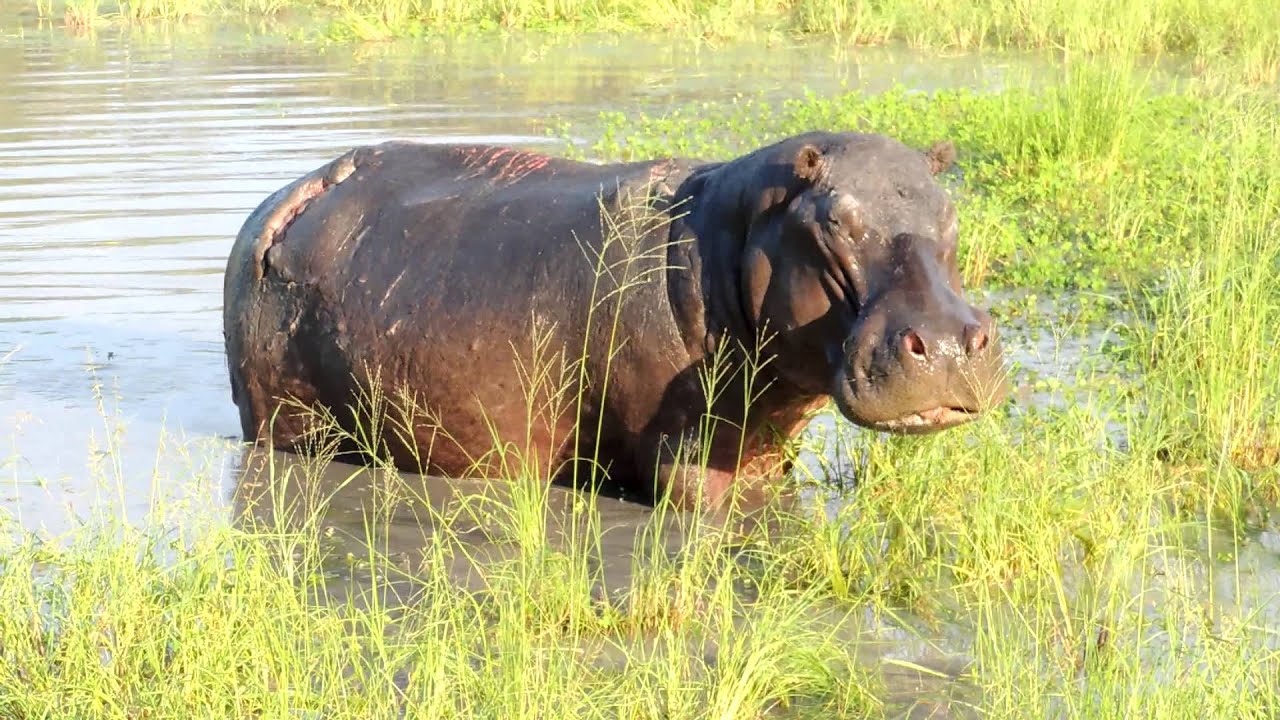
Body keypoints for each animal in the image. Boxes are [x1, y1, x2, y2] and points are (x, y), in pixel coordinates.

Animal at [223, 132, 1008, 509]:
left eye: (950, 210)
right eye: (835, 221)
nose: (946, 343)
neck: (730, 233)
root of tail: (289, 199)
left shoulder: (769, 453)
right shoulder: (692, 459)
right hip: (284, 421)